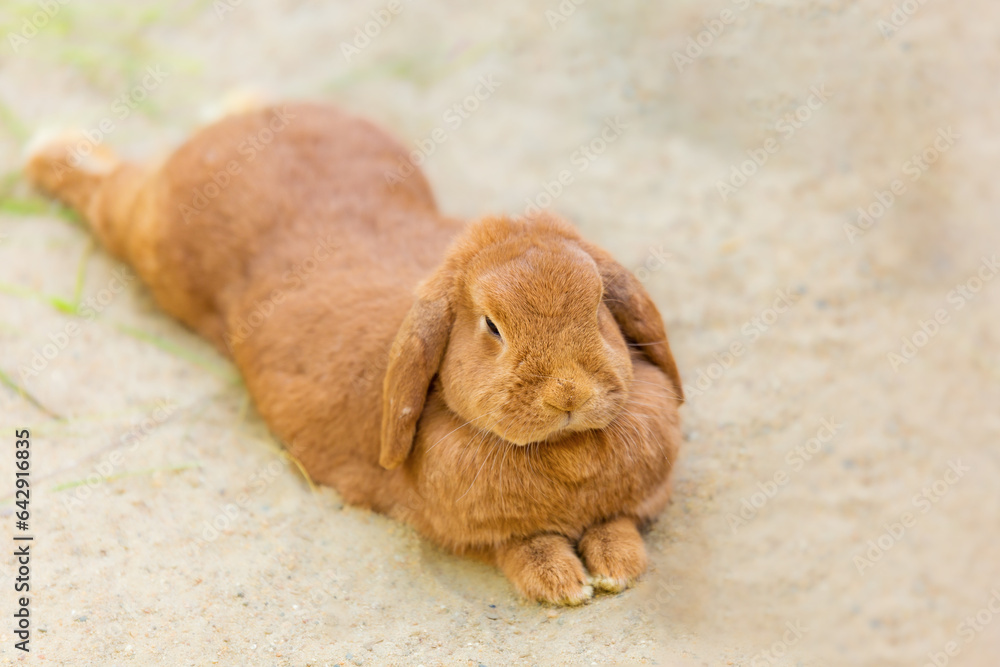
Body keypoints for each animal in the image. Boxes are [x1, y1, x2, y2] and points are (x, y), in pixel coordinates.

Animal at [25, 102, 684, 605]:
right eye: (492, 327)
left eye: (598, 306)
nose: (567, 392)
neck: (565, 452)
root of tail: (248, 119)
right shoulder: (490, 538)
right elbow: (527, 547)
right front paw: (565, 585)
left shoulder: (630, 503)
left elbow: (618, 525)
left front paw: (616, 569)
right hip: (151, 239)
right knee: (108, 190)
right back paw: (46, 152)